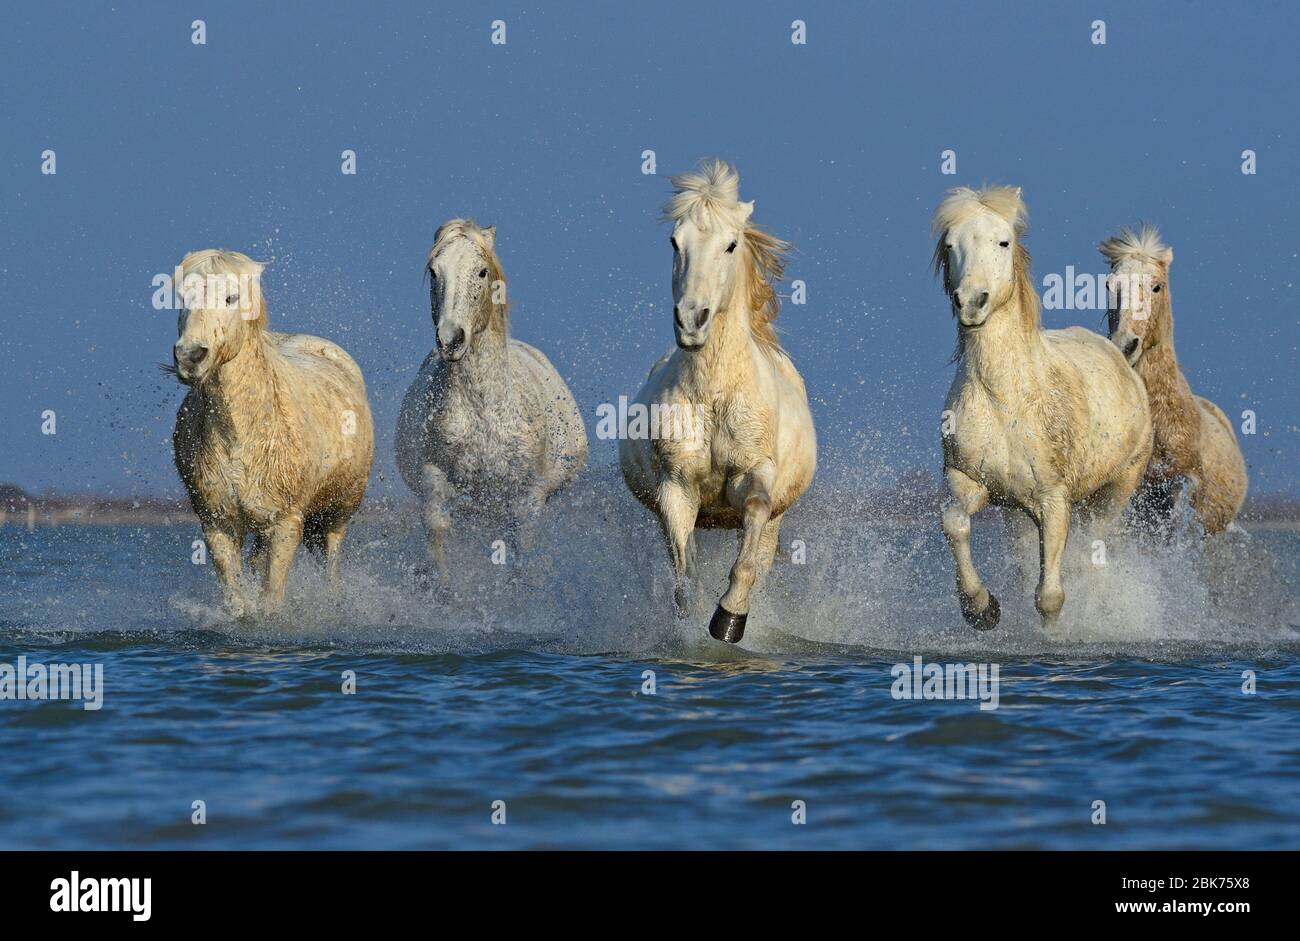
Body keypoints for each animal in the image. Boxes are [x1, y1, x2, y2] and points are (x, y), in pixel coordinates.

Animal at [170, 249, 375, 617]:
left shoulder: (285, 524)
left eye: (231, 297)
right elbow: (237, 598)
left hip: (338, 511)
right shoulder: (217, 525)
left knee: (331, 558)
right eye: (181, 298)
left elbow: (271, 599)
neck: (240, 437)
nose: (190, 356)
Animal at [395, 219, 588, 573]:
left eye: (482, 271)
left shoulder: (526, 502)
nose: (451, 339)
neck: (481, 412)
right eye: (434, 271)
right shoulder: (435, 484)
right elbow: (438, 539)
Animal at [620, 159, 817, 644]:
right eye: (675, 241)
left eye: (730, 245)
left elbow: (747, 557)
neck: (713, 396)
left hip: (775, 520)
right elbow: (685, 581)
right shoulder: (675, 489)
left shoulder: (754, 476)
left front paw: (728, 621)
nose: (692, 320)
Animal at [932, 186, 1152, 630]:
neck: (1005, 399)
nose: (972, 303)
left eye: (1004, 242)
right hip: (1017, 513)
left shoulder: (1054, 500)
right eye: (950, 244)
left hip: (1116, 490)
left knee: (1092, 551)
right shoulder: (968, 482)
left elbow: (1049, 596)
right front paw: (981, 607)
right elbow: (955, 523)